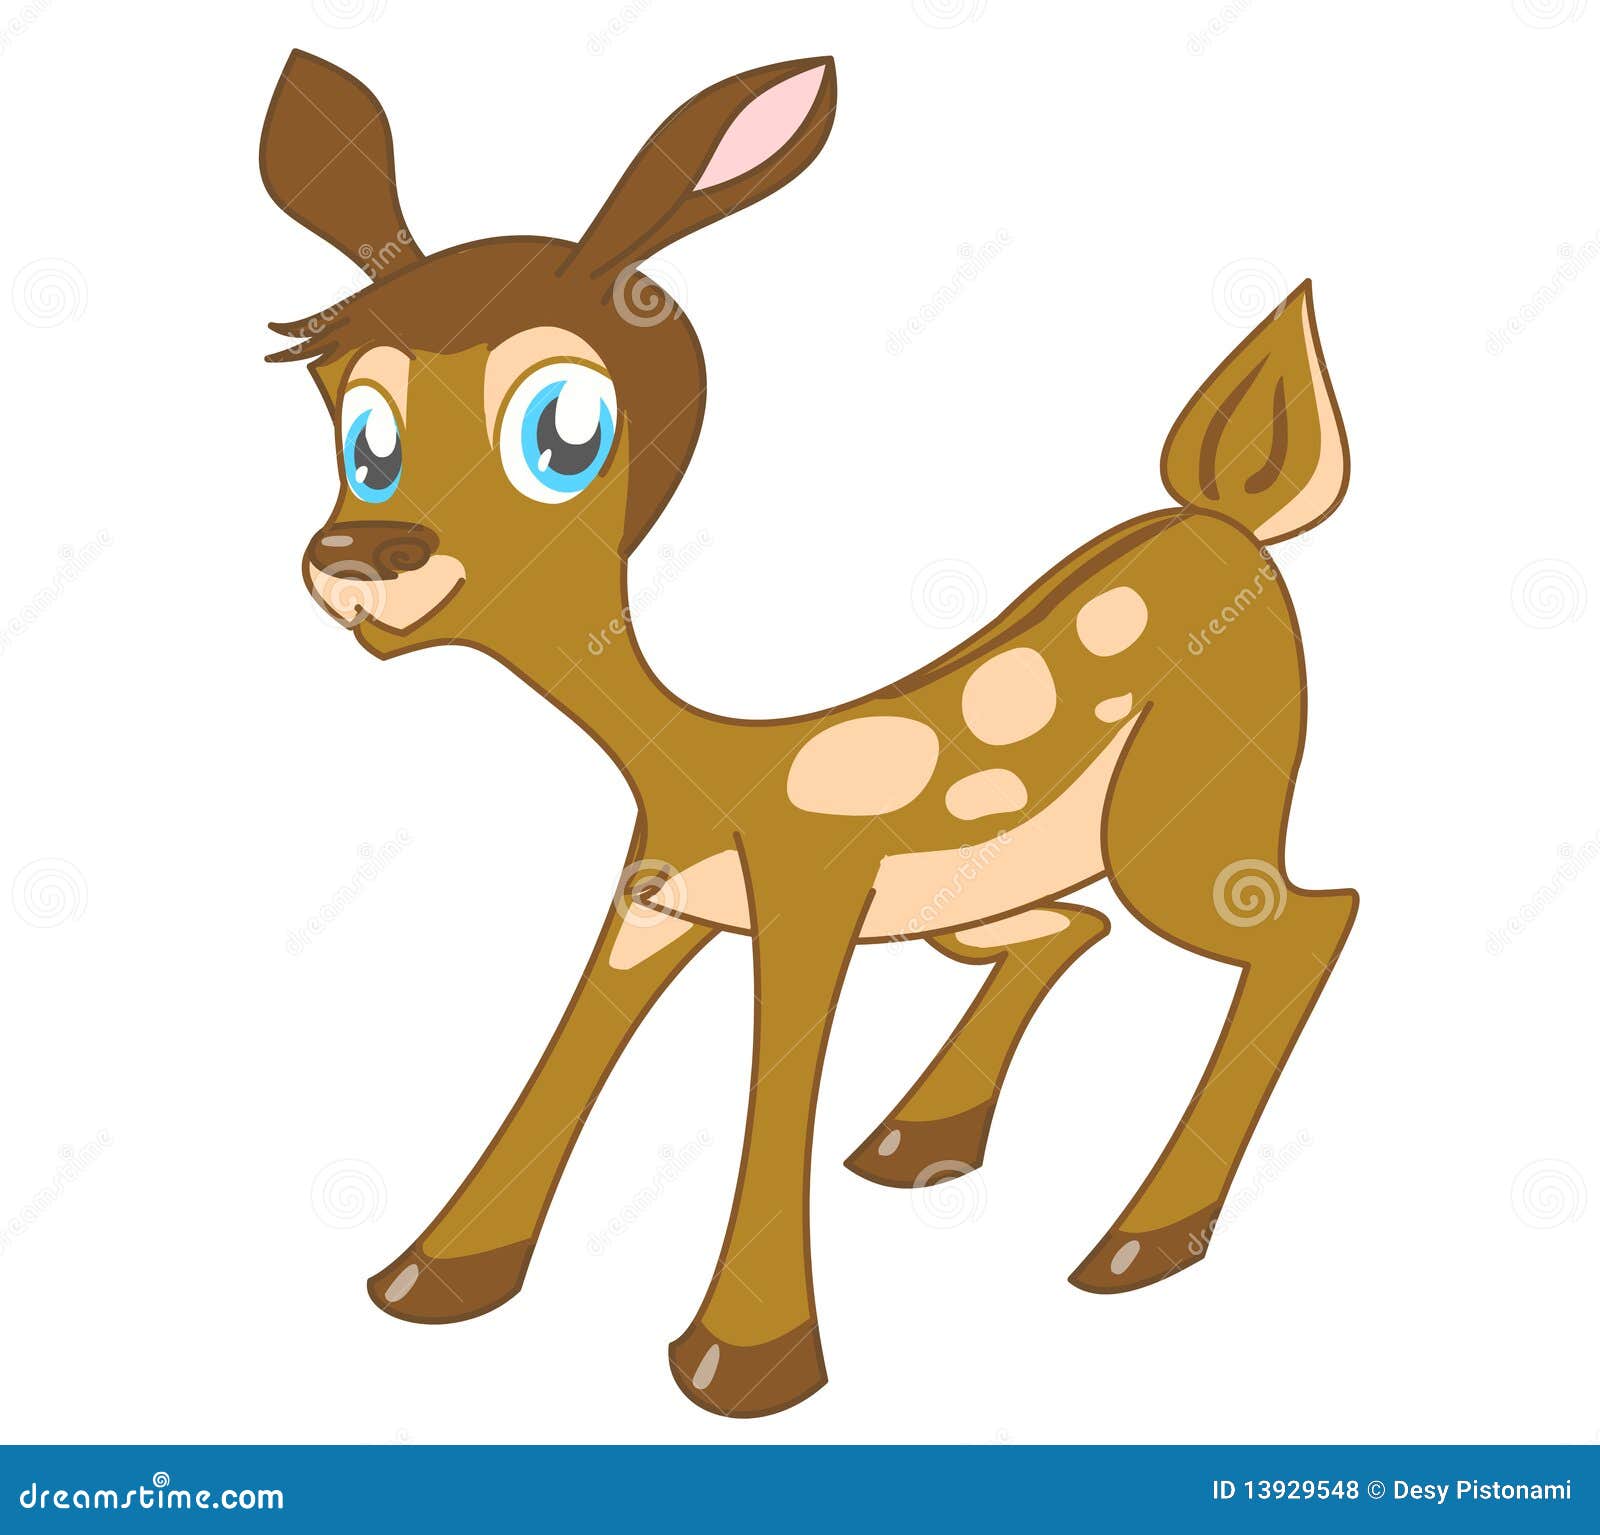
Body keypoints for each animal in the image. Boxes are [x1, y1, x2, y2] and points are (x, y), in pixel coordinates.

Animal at [260, 49, 1358, 1419]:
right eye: (364, 431)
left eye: (563, 430)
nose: (362, 558)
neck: (708, 765)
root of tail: (1229, 518)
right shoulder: (657, 897)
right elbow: (569, 1049)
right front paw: (436, 1273)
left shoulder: (807, 897)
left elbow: (770, 1087)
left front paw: (745, 1357)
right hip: (983, 890)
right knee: (1071, 926)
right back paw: (919, 1139)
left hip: (1188, 811)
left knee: (1307, 920)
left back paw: (1138, 1239)